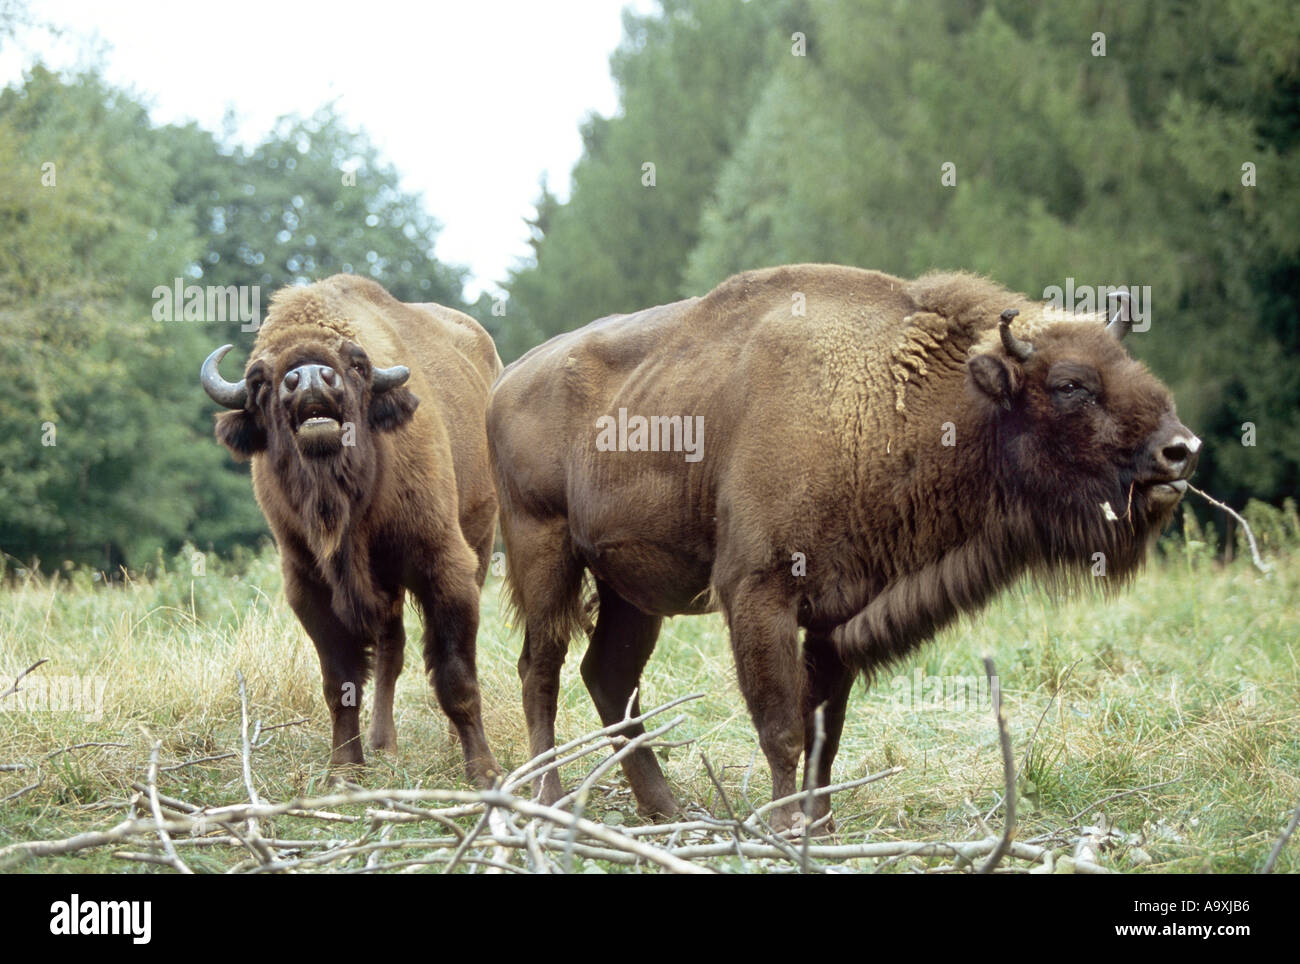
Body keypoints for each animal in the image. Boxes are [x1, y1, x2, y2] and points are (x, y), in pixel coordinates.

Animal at [202, 274, 501, 786]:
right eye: (259, 379)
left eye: (356, 365)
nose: (307, 378)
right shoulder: (311, 588)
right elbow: (340, 681)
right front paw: (344, 770)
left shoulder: (445, 567)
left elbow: (457, 675)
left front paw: (483, 771)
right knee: (390, 652)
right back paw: (383, 744)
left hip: (479, 541)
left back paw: (444, 745)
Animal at [487, 264, 1199, 828]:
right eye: (1071, 384)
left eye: (1129, 366)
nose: (1181, 449)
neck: (892, 400)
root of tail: (508, 378)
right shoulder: (761, 596)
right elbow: (782, 728)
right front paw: (784, 827)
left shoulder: (841, 615)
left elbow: (823, 731)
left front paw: (820, 826)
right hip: (544, 551)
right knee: (540, 669)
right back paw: (545, 798)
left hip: (632, 592)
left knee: (608, 678)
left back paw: (664, 809)